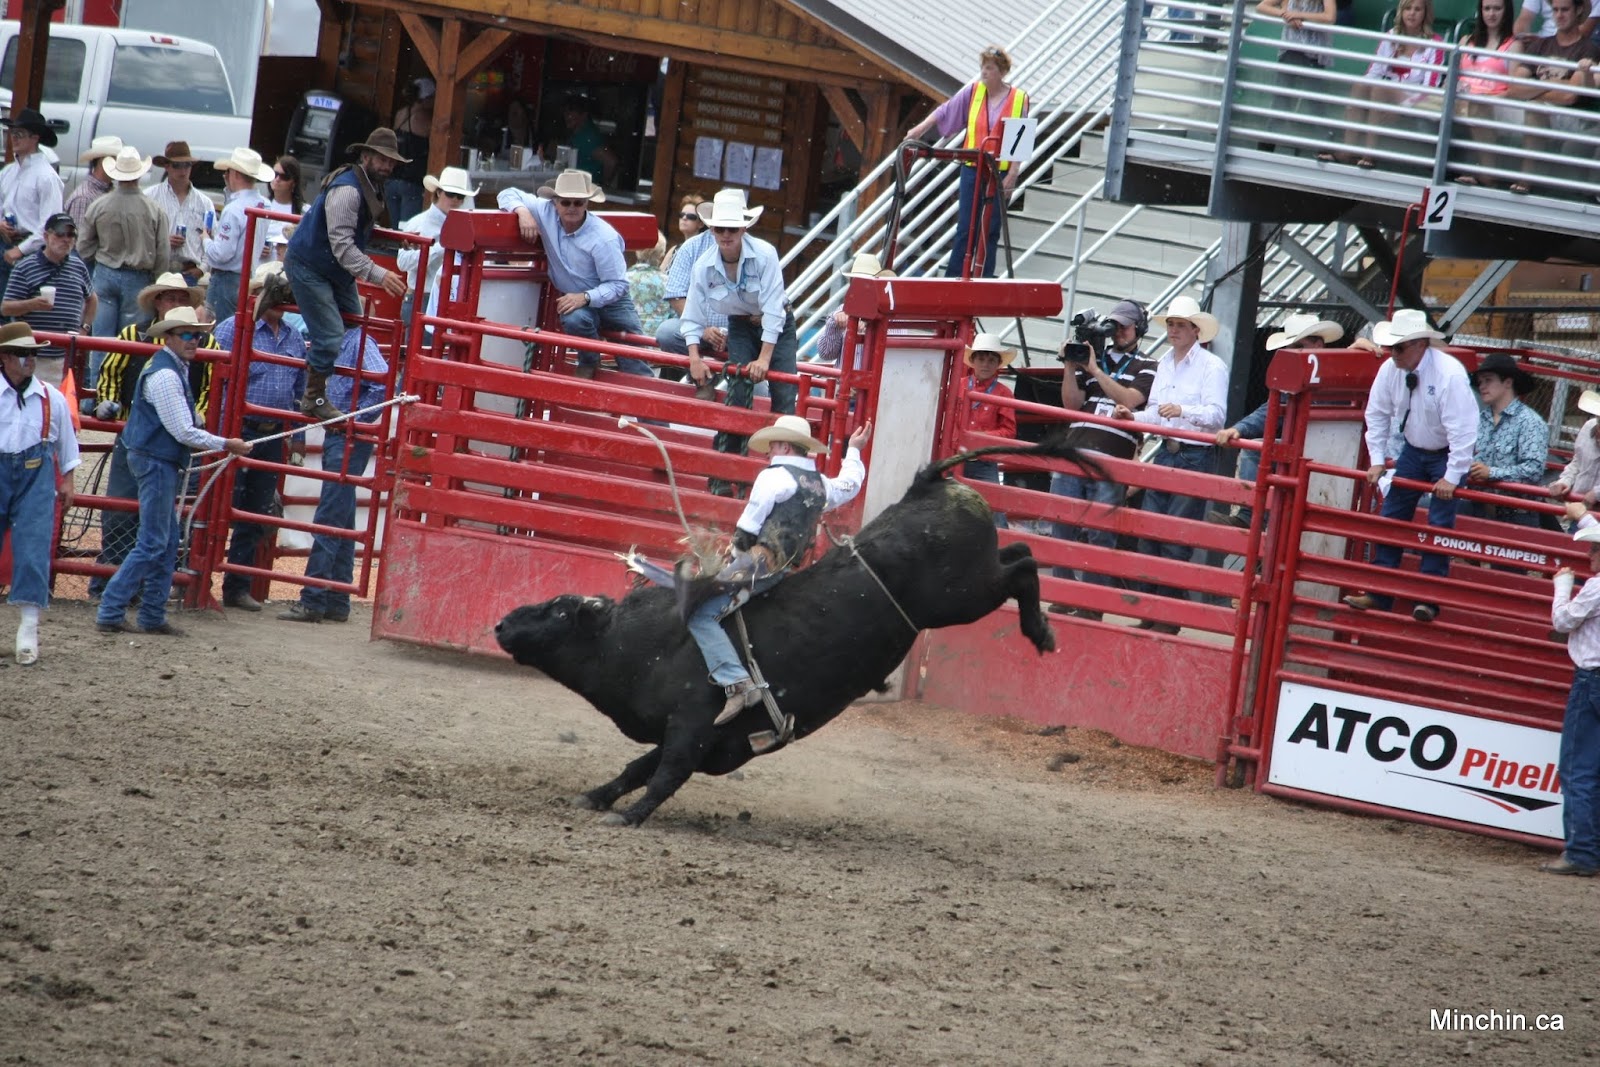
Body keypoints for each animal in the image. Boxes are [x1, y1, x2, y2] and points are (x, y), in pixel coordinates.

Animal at [494, 440, 1096, 827]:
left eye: (559, 612)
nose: (502, 622)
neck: (640, 643)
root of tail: (925, 487)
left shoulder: (693, 723)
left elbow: (665, 773)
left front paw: (628, 817)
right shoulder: (694, 734)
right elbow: (637, 767)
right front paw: (596, 797)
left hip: (960, 598)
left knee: (1023, 567)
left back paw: (1042, 631)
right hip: (971, 585)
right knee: (1020, 551)